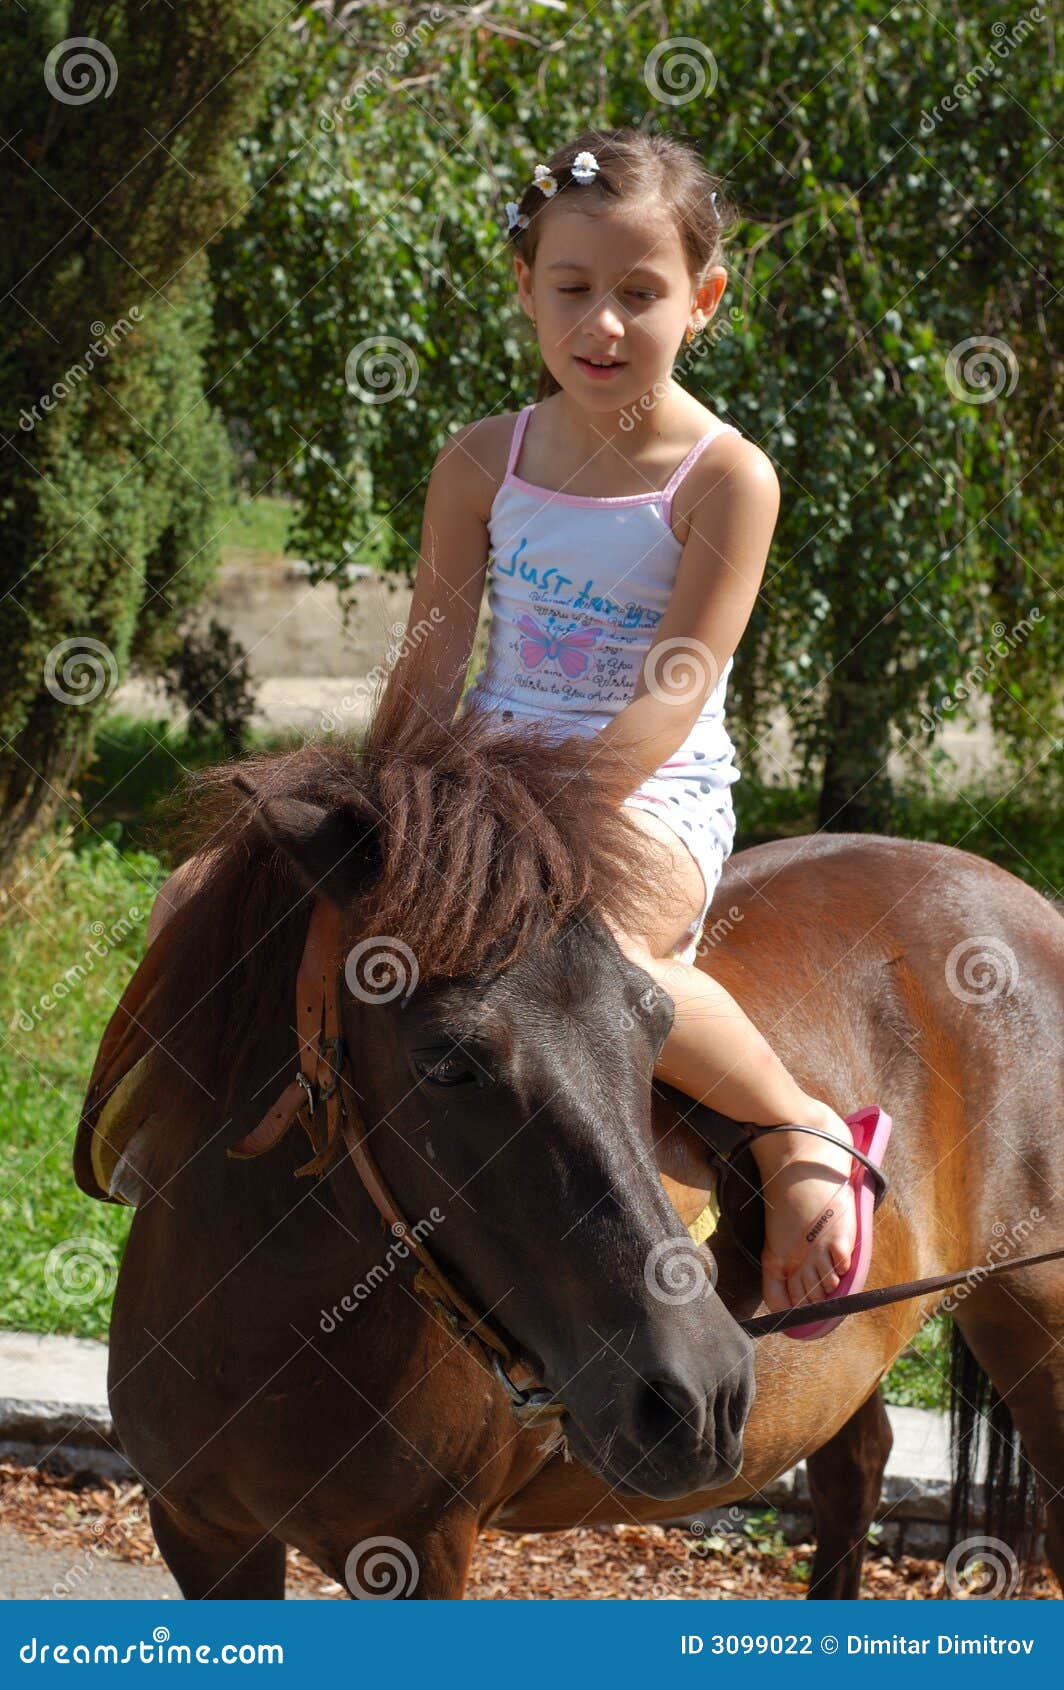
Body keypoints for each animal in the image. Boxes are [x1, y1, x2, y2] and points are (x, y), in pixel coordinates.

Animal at [77, 686, 1064, 1599]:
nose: (701, 1391)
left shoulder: (418, 1551)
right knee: (853, 1473)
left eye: (655, 1023)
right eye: (447, 1061)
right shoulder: (203, 1535)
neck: (263, 1324)